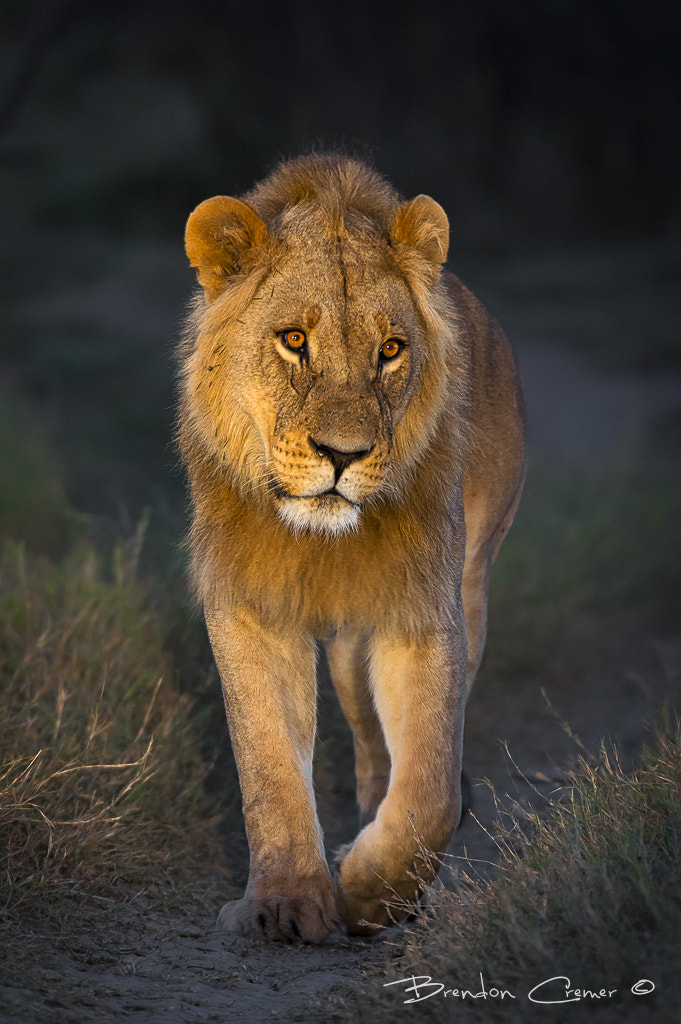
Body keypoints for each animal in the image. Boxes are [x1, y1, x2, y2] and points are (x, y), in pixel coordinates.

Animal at [177, 153, 527, 942]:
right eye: (292, 340)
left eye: (390, 350)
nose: (342, 455)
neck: (322, 542)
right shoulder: (250, 605)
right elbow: (268, 765)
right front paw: (284, 903)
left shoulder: (421, 612)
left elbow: (429, 781)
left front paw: (375, 891)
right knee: (367, 742)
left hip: (471, 579)